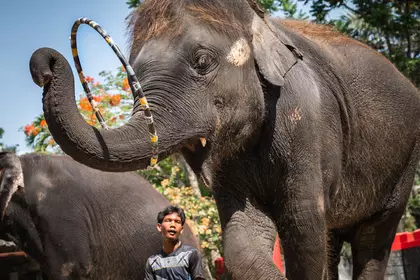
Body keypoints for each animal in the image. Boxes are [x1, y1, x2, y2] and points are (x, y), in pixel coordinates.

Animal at [28, 0, 420, 280]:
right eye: (132, 77)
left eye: (202, 61)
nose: (44, 64)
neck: (258, 23)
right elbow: (240, 237)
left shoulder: (307, 121)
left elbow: (303, 226)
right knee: (335, 237)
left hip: (405, 160)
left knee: (373, 239)